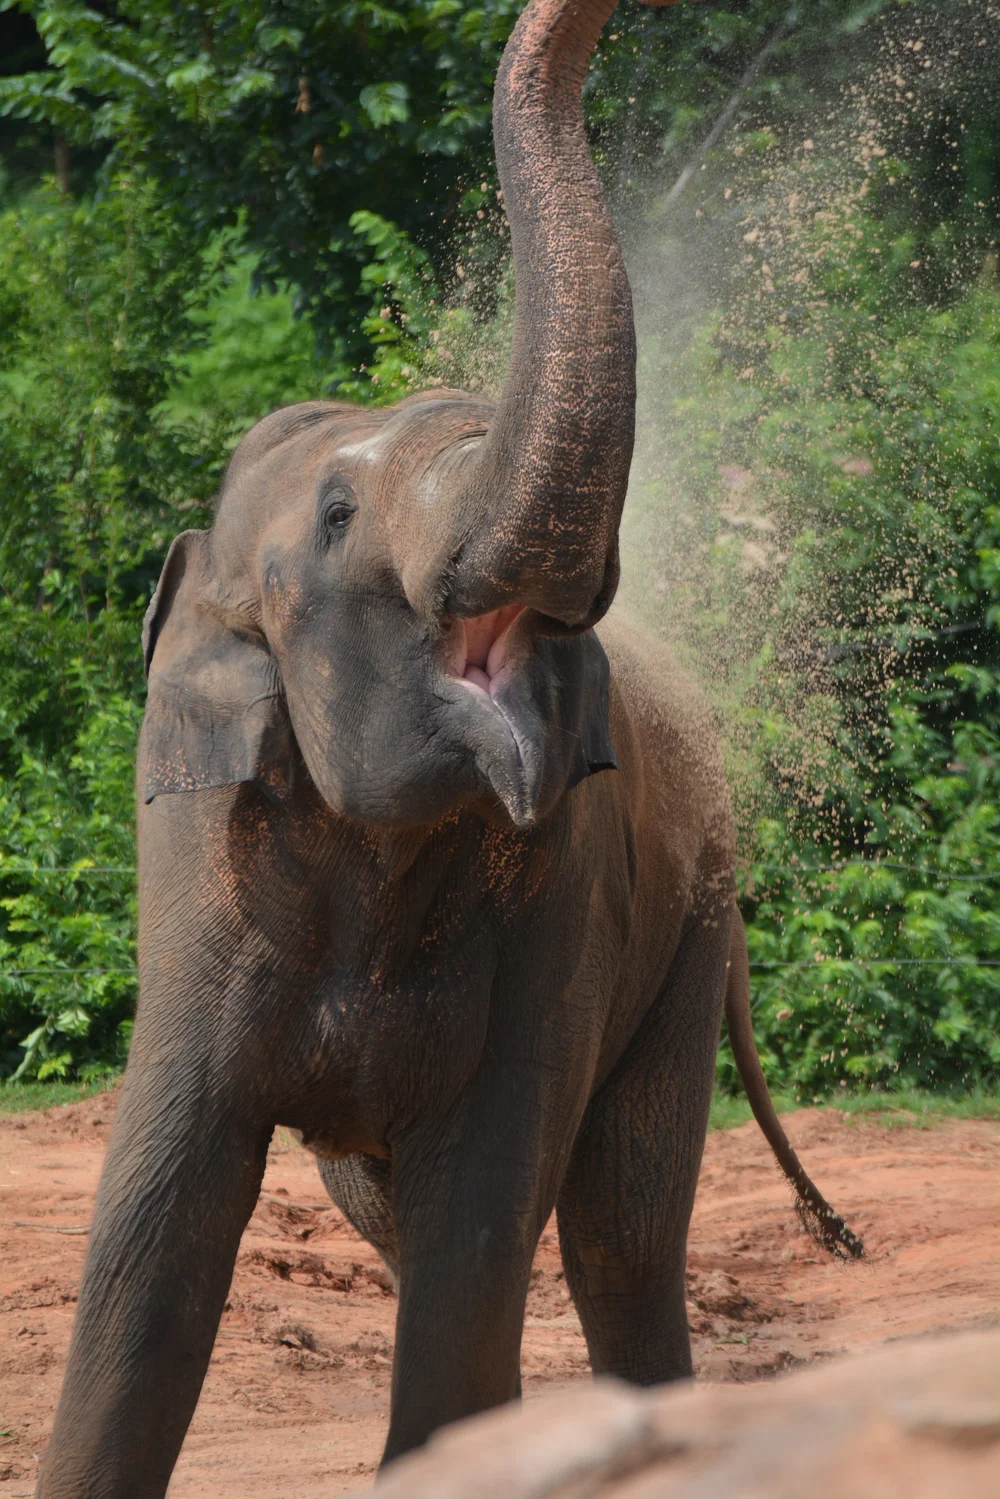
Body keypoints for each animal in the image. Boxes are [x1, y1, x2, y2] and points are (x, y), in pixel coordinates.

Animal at [37, 0, 861, 1494]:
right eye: (337, 512)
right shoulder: (193, 858)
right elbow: (158, 1219)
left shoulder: (570, 895)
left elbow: (480, 1210)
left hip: (692, 933)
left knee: (617, 1229)